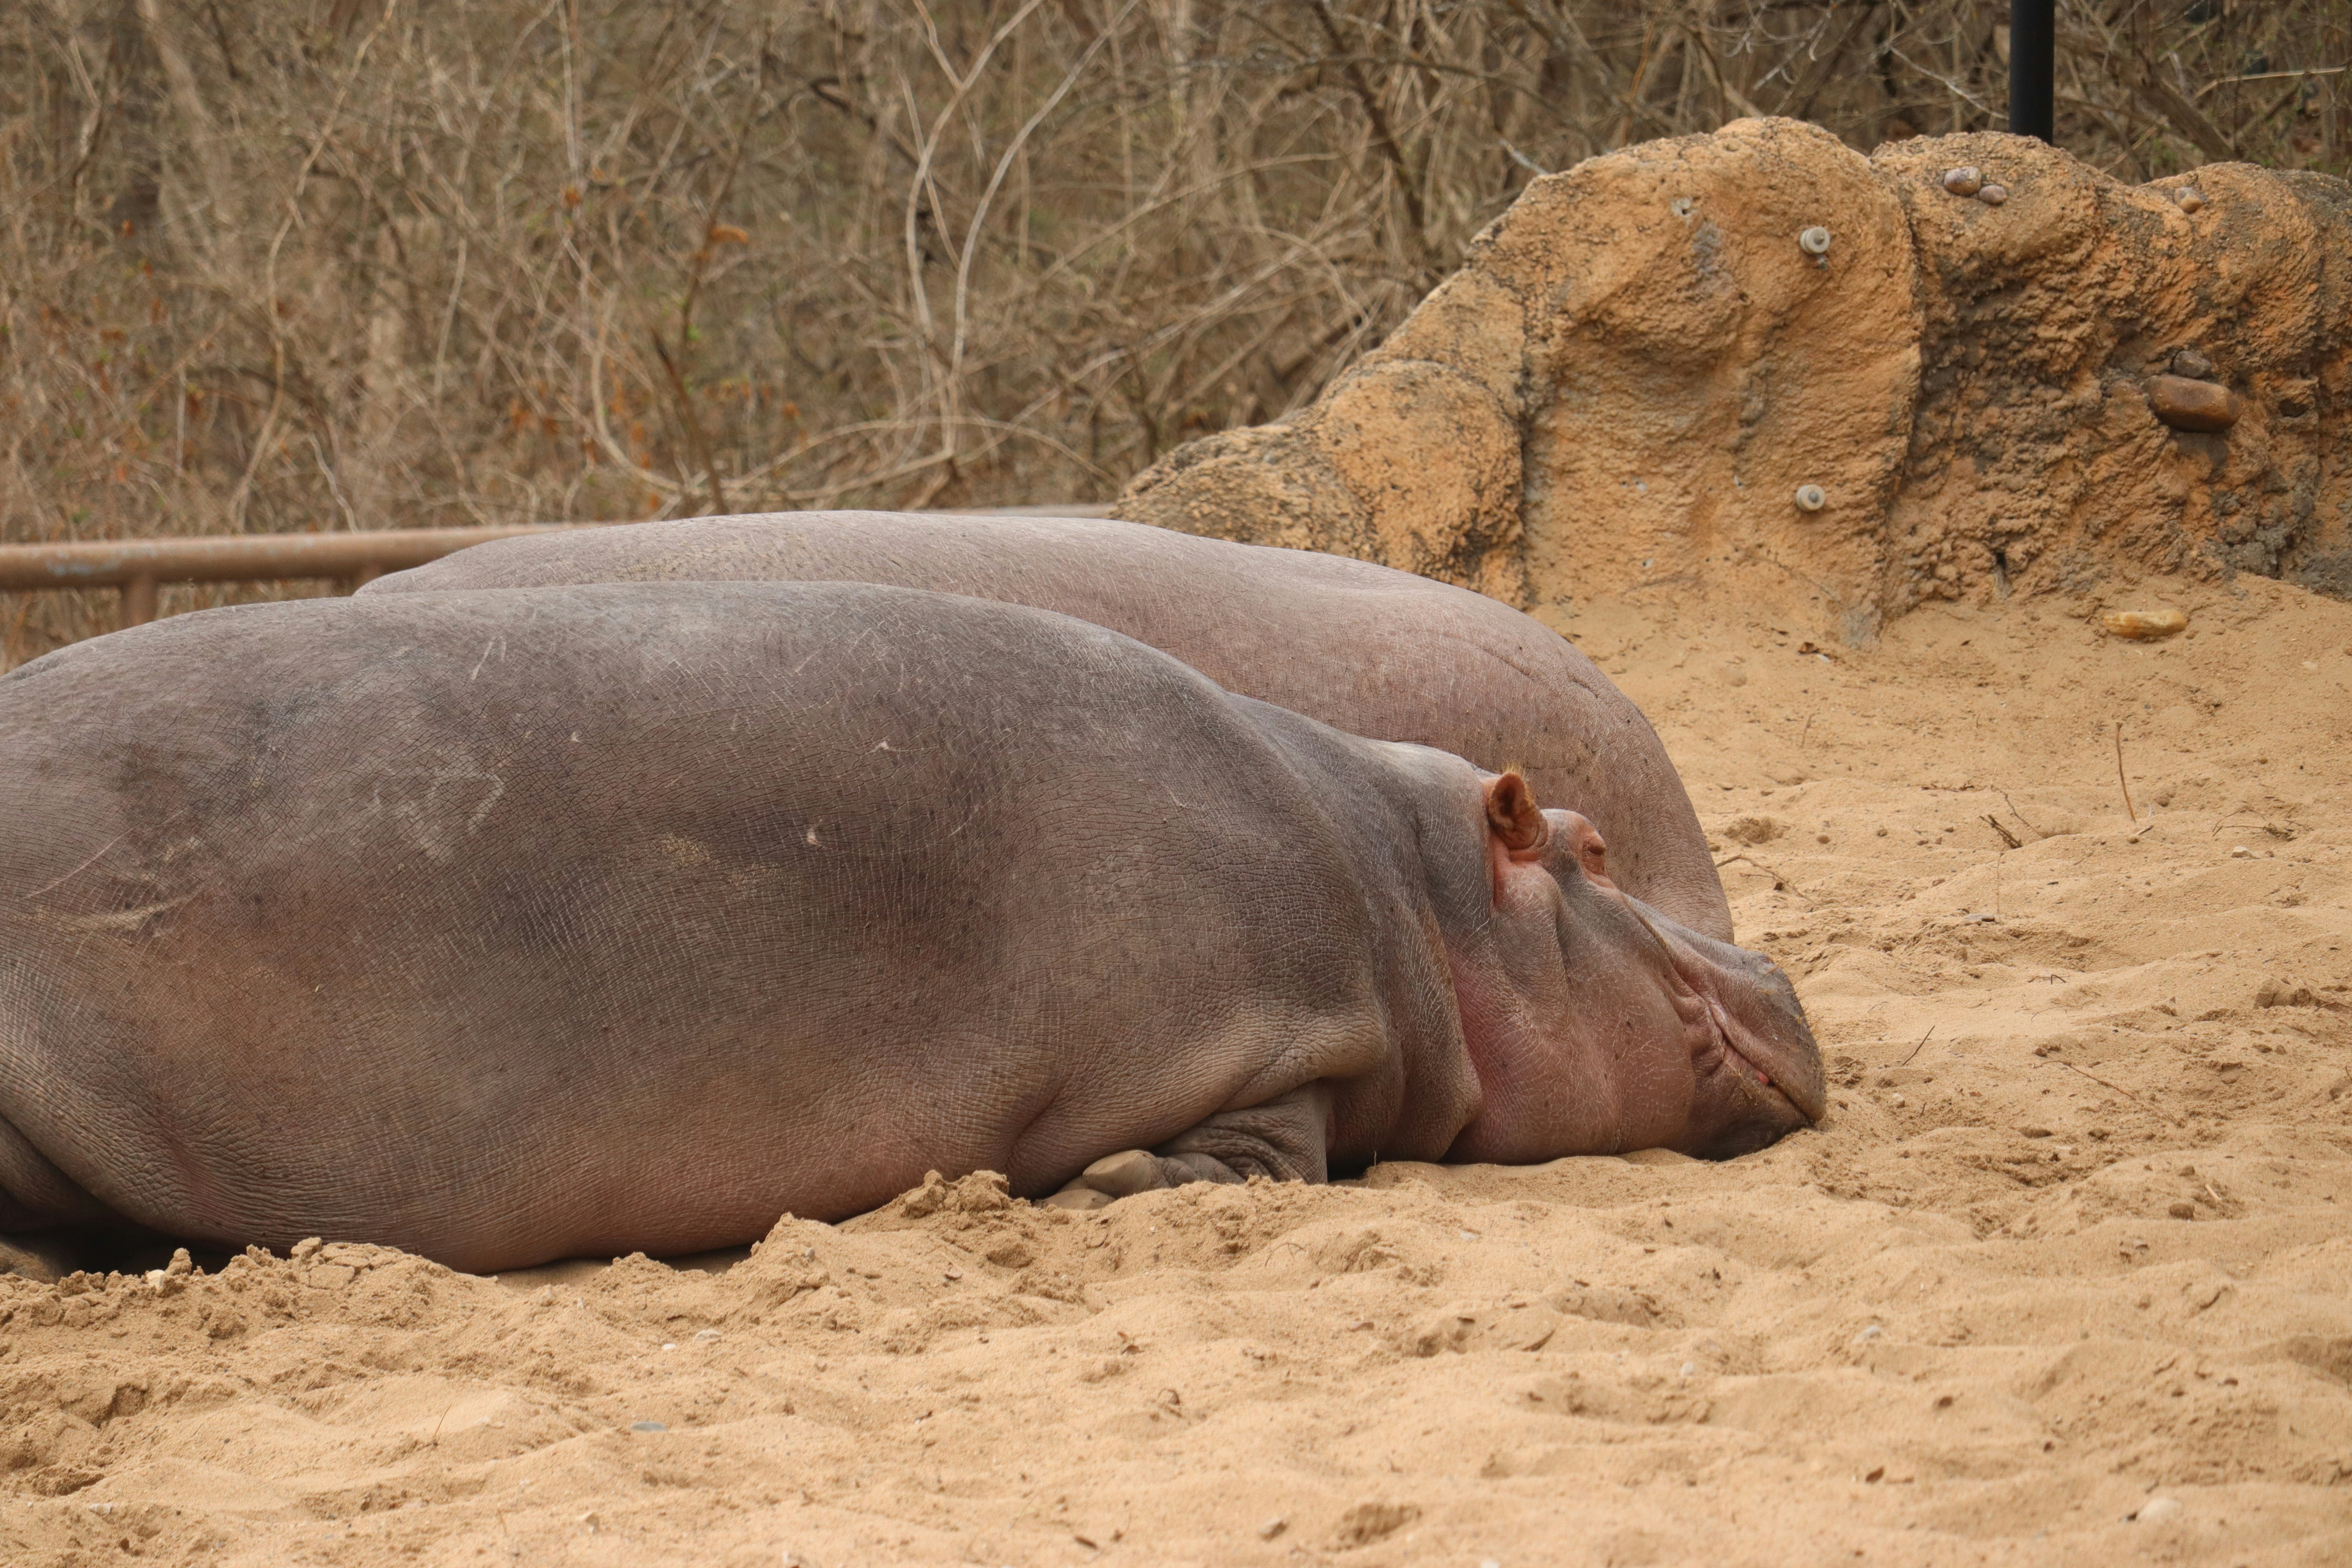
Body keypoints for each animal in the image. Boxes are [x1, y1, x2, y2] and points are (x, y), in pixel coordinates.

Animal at [0, 584, 1820, 1274]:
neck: (1411, 896)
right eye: (1592, 844)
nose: (1781, 970)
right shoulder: (1262, 1032)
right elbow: (1277, 1152)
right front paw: (1116, 1184)